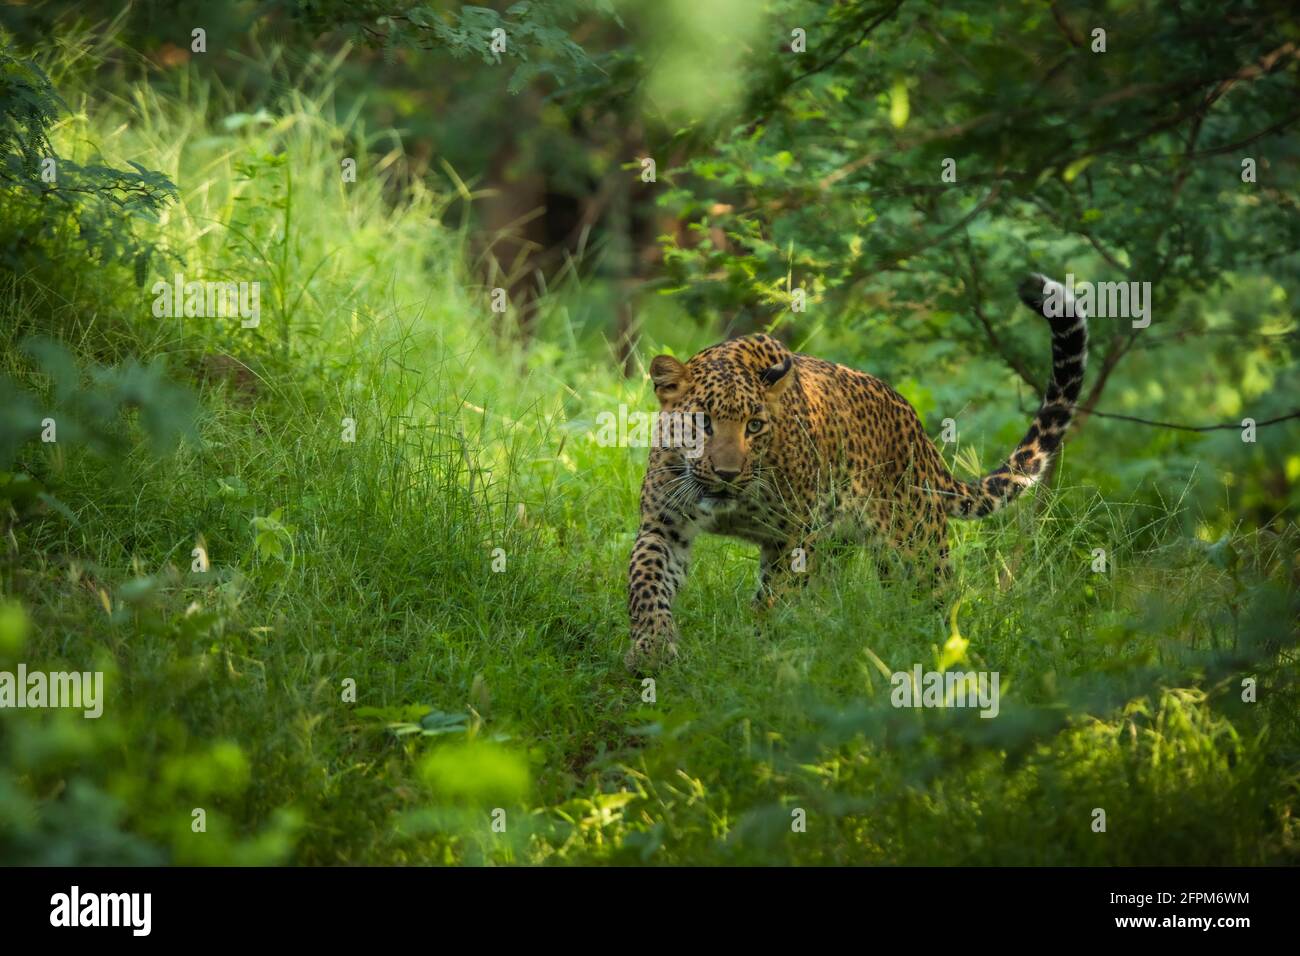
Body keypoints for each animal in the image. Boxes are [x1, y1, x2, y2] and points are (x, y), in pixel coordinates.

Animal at [625, 273, 1088, 671]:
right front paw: (652, 648)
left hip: (917, 547)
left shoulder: (792, 536)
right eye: (701, 422)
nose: (726, 473)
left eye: (754, 426)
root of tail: (920, 436)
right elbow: (646, 582)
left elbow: (776, 595)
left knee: (939, 598)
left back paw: (943, 651)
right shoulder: (663, 525)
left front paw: (763, 650)